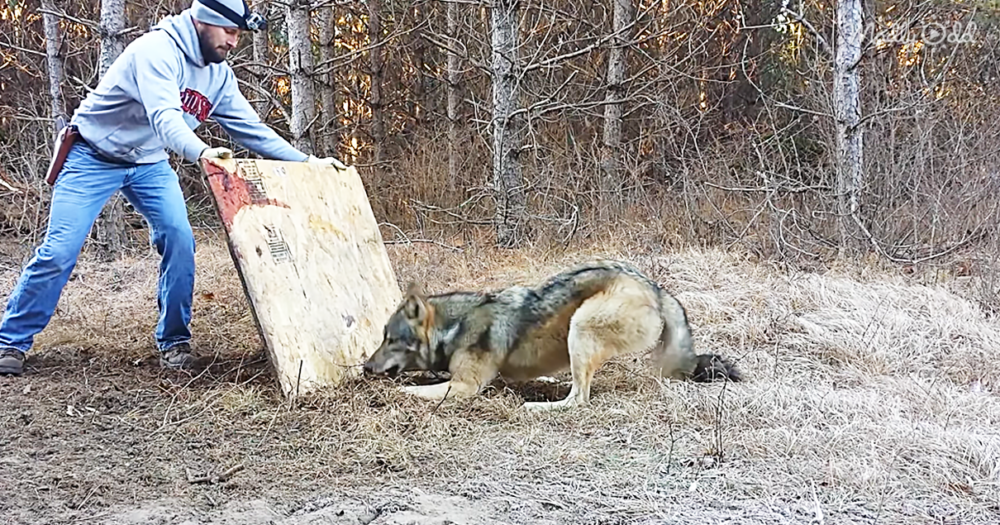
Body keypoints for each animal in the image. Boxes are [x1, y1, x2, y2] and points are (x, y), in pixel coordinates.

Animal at [362, 260, 741, 410]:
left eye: (390, 340)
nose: (365, 368)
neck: (455, 326)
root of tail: (656, 288)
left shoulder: (465, 386)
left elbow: (410, 390)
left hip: (580, 327)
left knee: (578, 399)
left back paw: (536, 407)